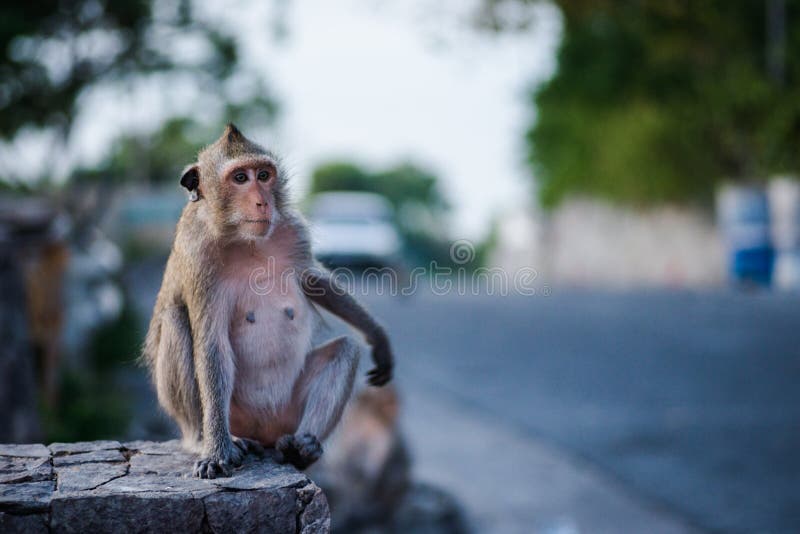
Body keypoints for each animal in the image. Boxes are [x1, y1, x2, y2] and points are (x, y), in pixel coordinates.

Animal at [143, 124, 394, 478]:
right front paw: (216, 452)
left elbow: (313, 279)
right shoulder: (198, 254)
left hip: (286, 415)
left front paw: (377, 336)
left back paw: (303, 448)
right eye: (240, 178)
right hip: (233, 413)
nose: (262, 202)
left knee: (344, 350)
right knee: (177, 321)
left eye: (263, 175)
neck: (245, 240)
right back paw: (206, 438)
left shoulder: (293, 229)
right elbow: (211, 343)